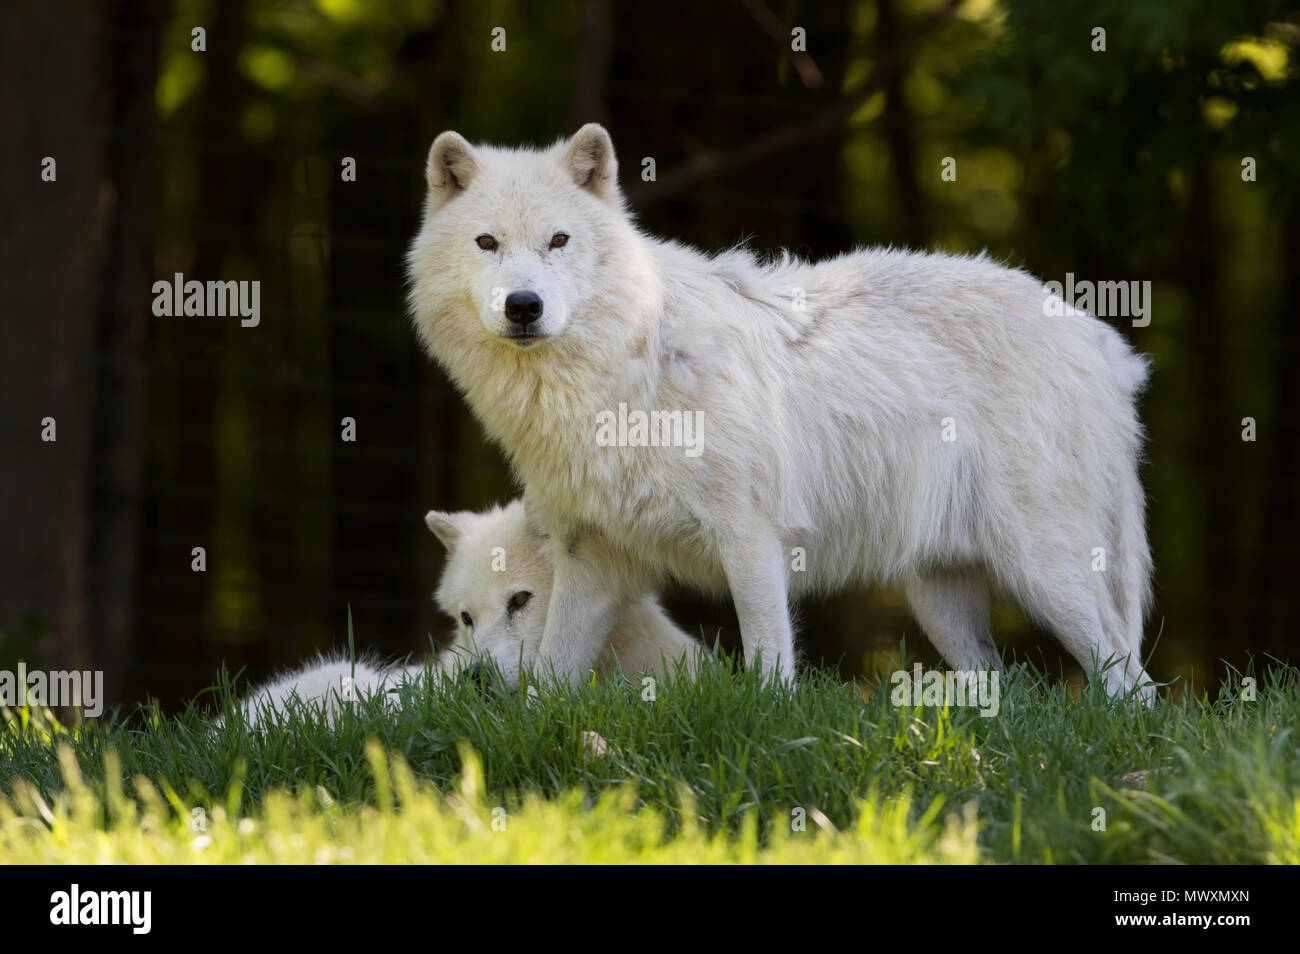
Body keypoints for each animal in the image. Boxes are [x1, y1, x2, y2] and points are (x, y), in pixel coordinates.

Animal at [406, 124, 1155, 700]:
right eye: (486, 243)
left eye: (559, 241)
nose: (524, 306)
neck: (625, 371)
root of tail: (1105, 344)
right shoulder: (592, 557)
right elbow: (551, 683)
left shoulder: (750, 536)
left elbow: (770, 659)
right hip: (940, 600)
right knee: (1008, 681)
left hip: (1047, 574)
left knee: (1133, 682)